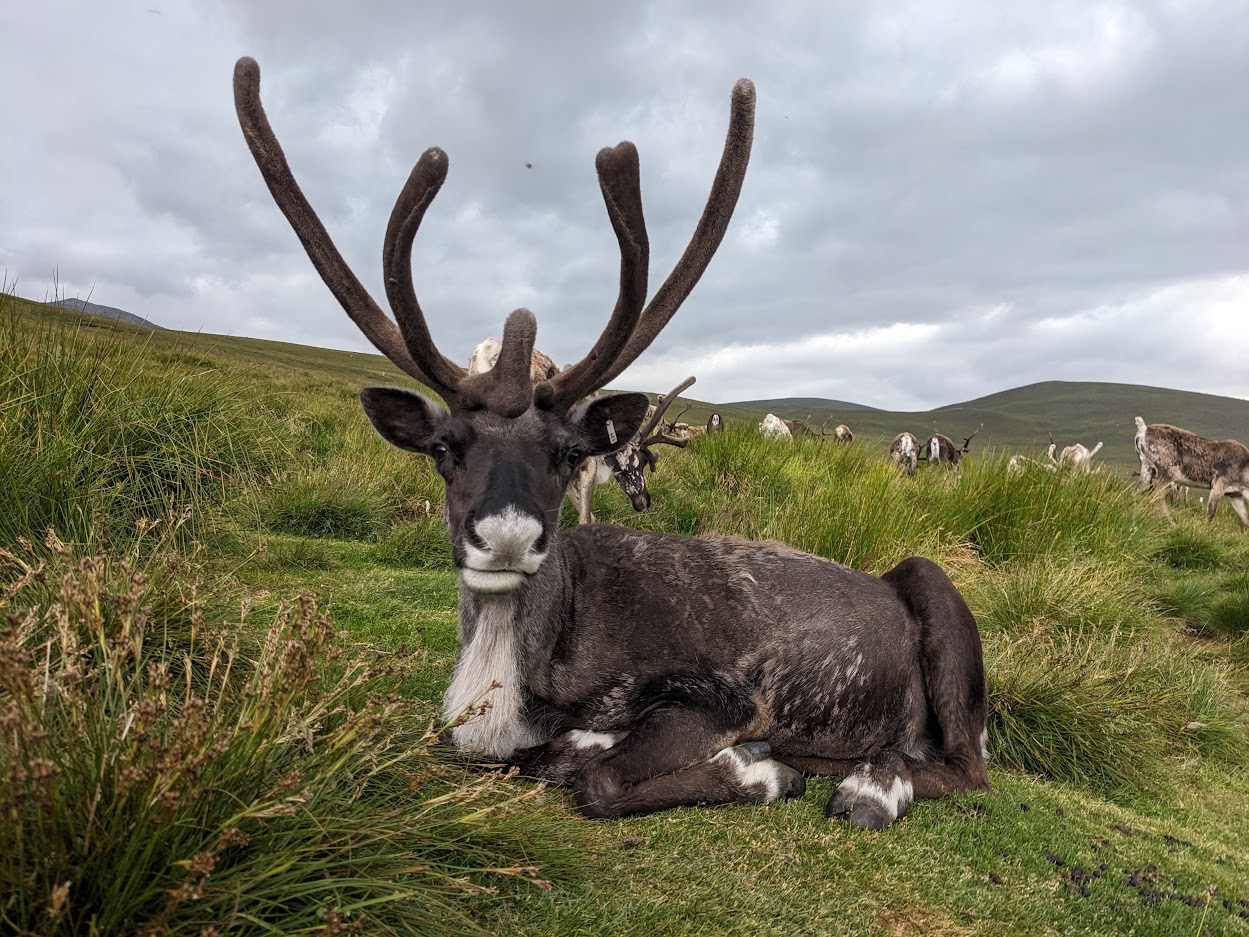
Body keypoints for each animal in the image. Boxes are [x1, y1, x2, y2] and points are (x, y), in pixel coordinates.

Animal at [234, 57, 990, 829]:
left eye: (570, 453)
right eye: (443, 448)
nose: (507, 536)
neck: (517, 667)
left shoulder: (718, 698)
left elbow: (598, 780)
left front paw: (755, 769)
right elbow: (542, 753)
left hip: (934, 595)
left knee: (965, 766)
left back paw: (870, 783)